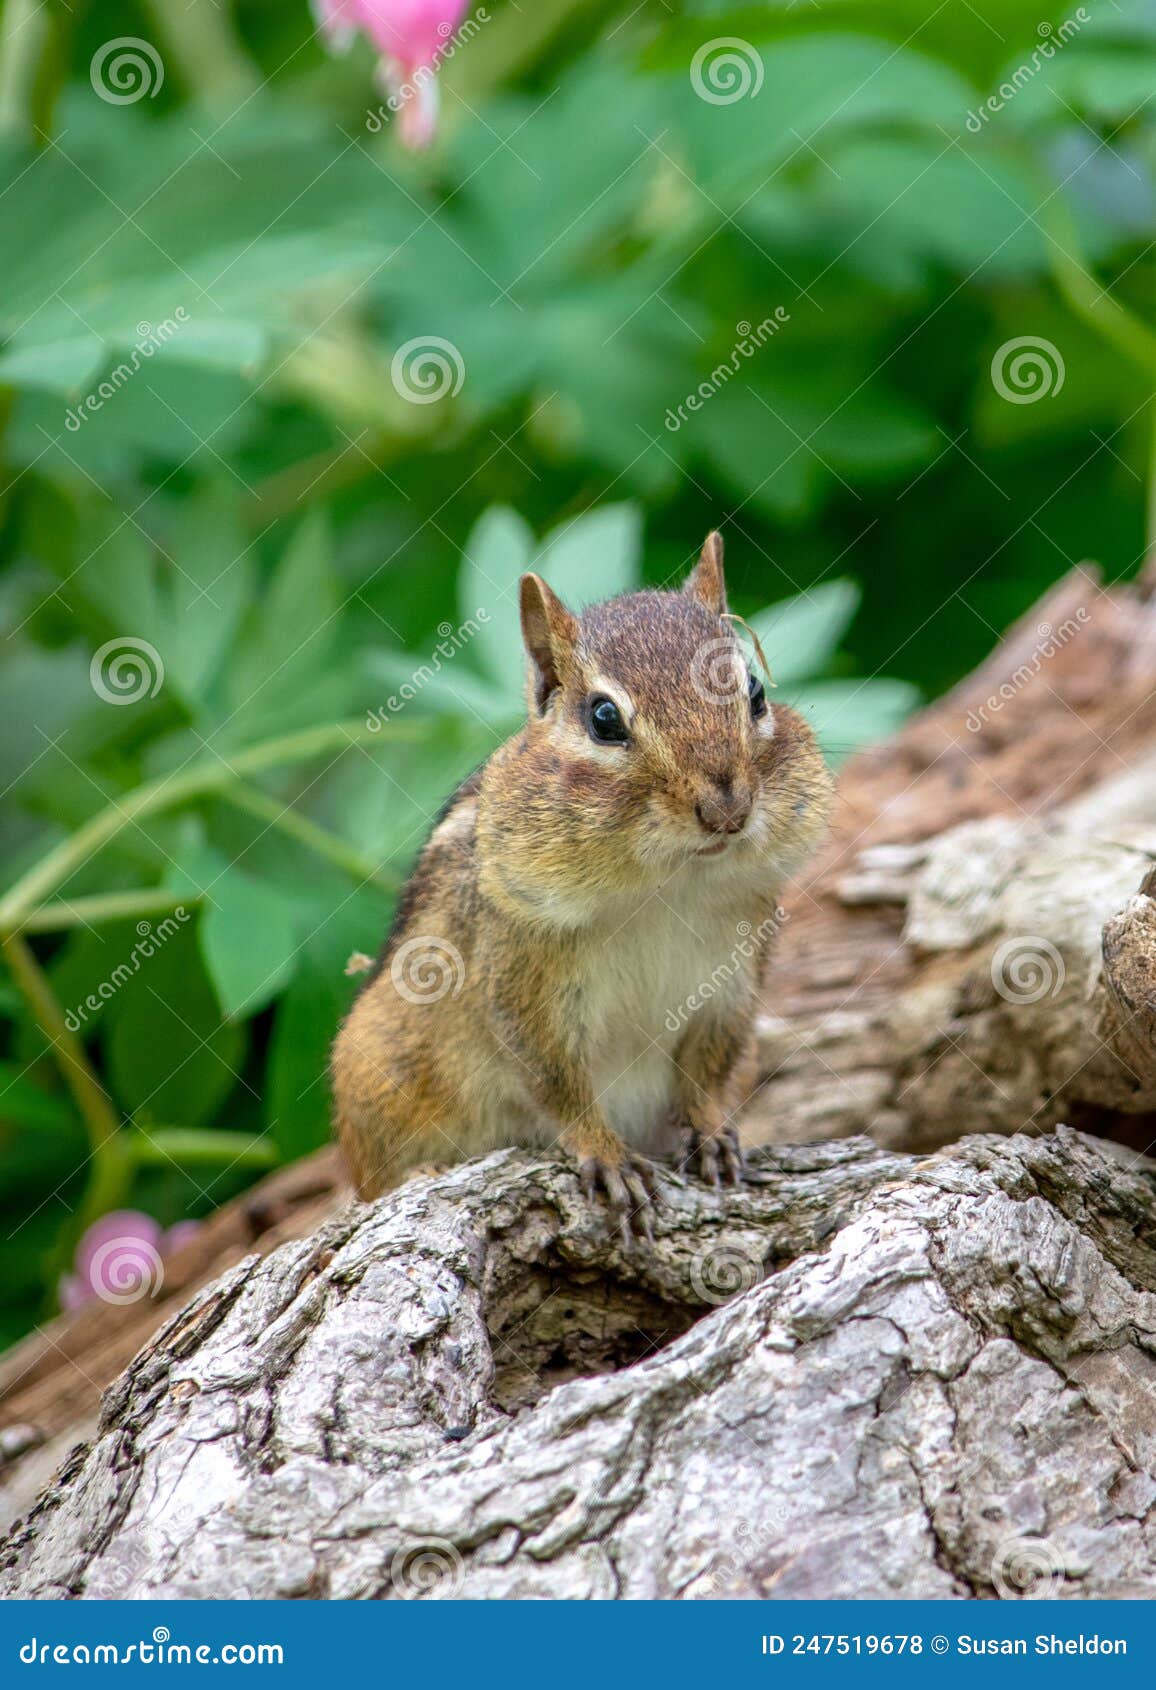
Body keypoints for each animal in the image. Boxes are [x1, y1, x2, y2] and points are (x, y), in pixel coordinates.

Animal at [332, 532, 833, 1240]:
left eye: (756, 691)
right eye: (603, 718)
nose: (726, 809)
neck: (665, 887)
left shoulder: (730, 985)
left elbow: (705, 1072)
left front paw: (712, 1134)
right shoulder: (526, 982)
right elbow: (556, 1082)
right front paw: (606, 1154)